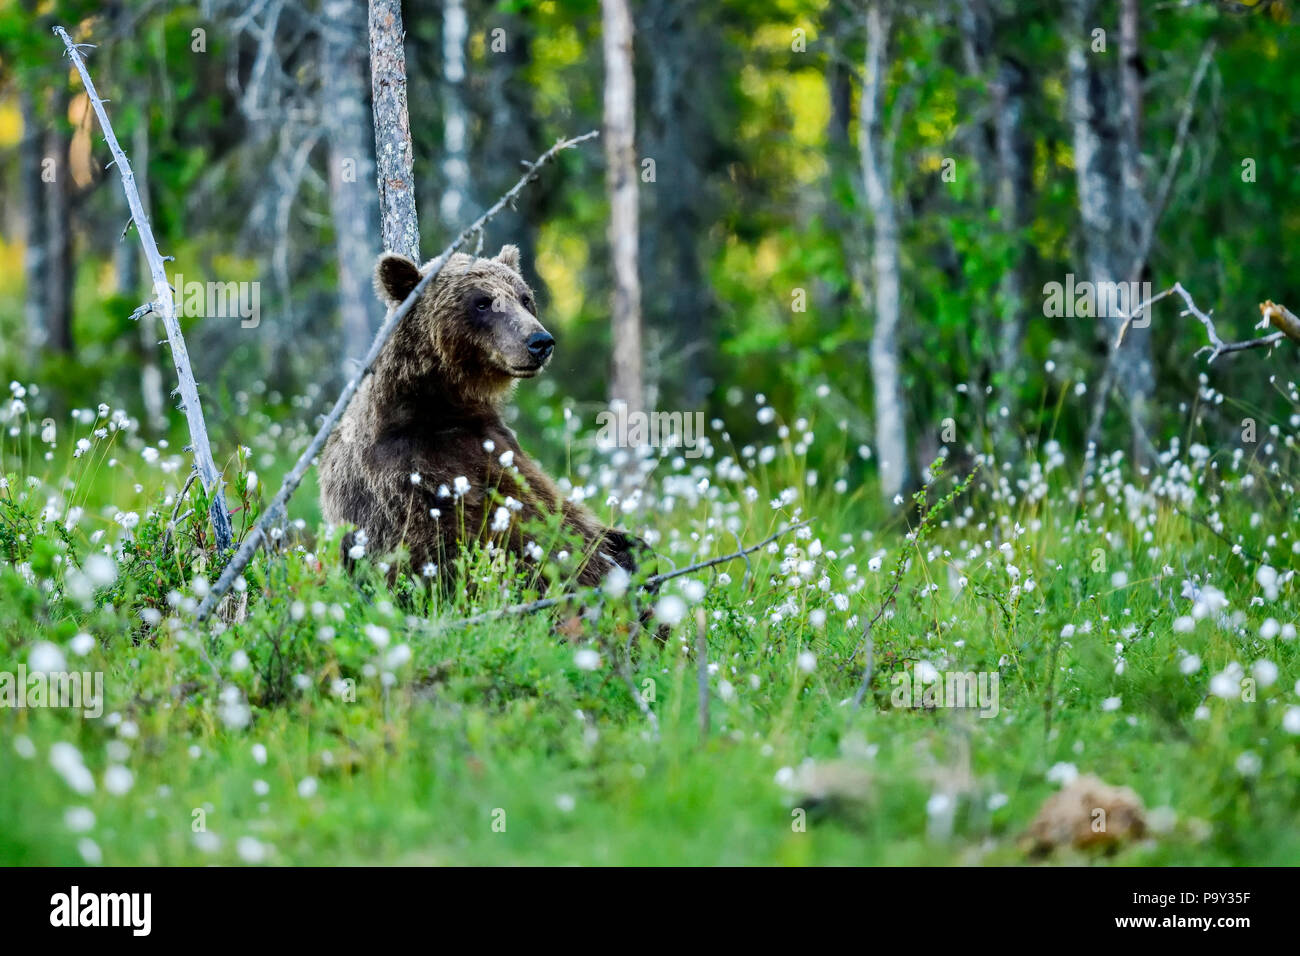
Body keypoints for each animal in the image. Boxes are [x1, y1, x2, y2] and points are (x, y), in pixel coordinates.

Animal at [318, 243, 644, 590]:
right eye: (483, 302)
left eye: (525, 297)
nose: (540, 341)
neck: (444, 406)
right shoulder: (407, 476)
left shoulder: (499, 445)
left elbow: (565, 515)